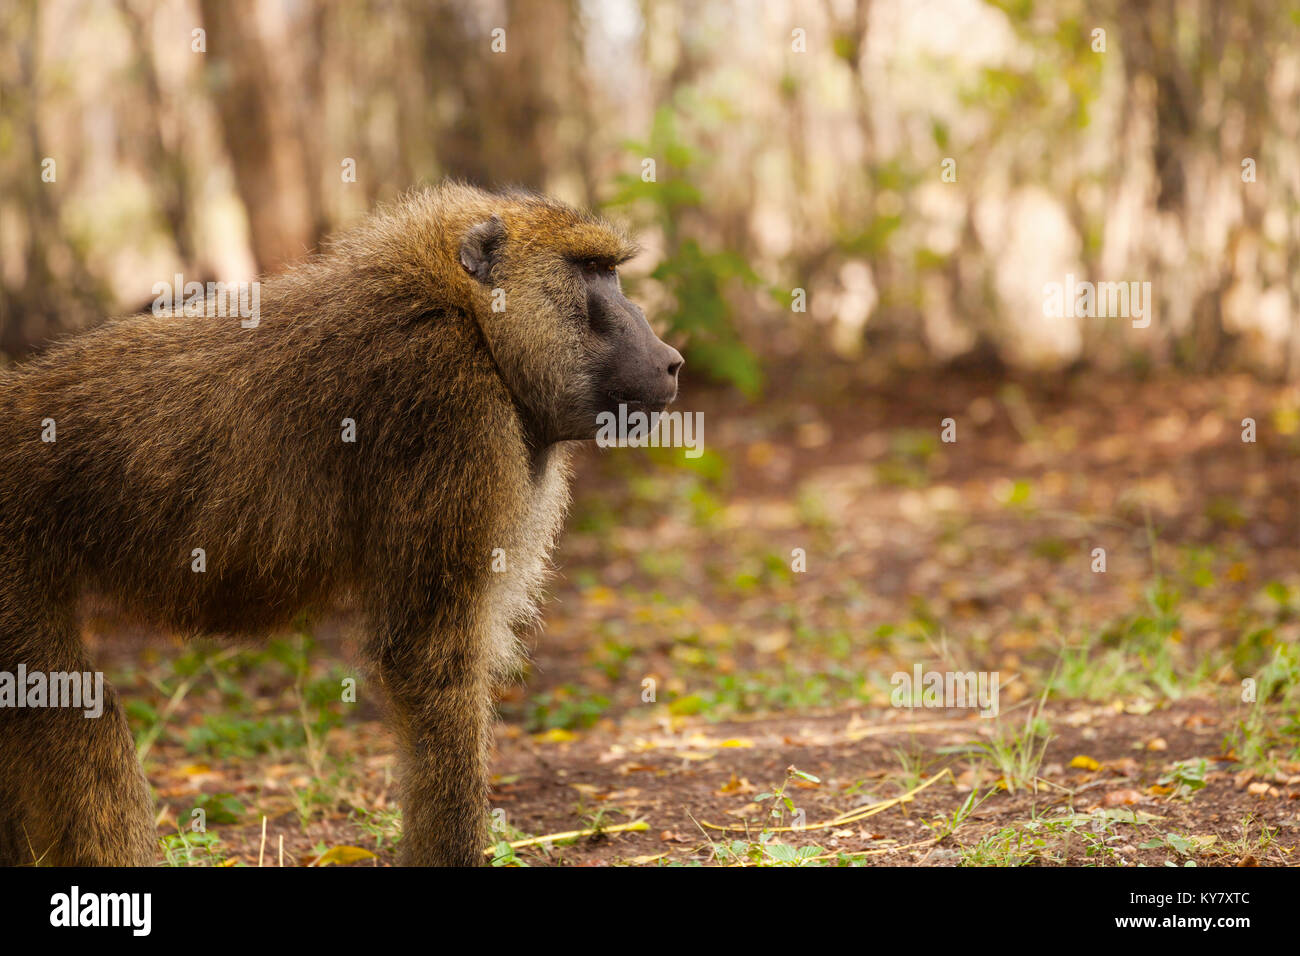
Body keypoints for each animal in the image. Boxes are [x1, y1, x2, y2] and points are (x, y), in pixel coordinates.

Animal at [0, 183, 683, 866]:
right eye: (590, 271)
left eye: (609, 270)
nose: (672, 360)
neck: (471, 319)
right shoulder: (447, 402)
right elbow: (427, 660)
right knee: (64, 702)